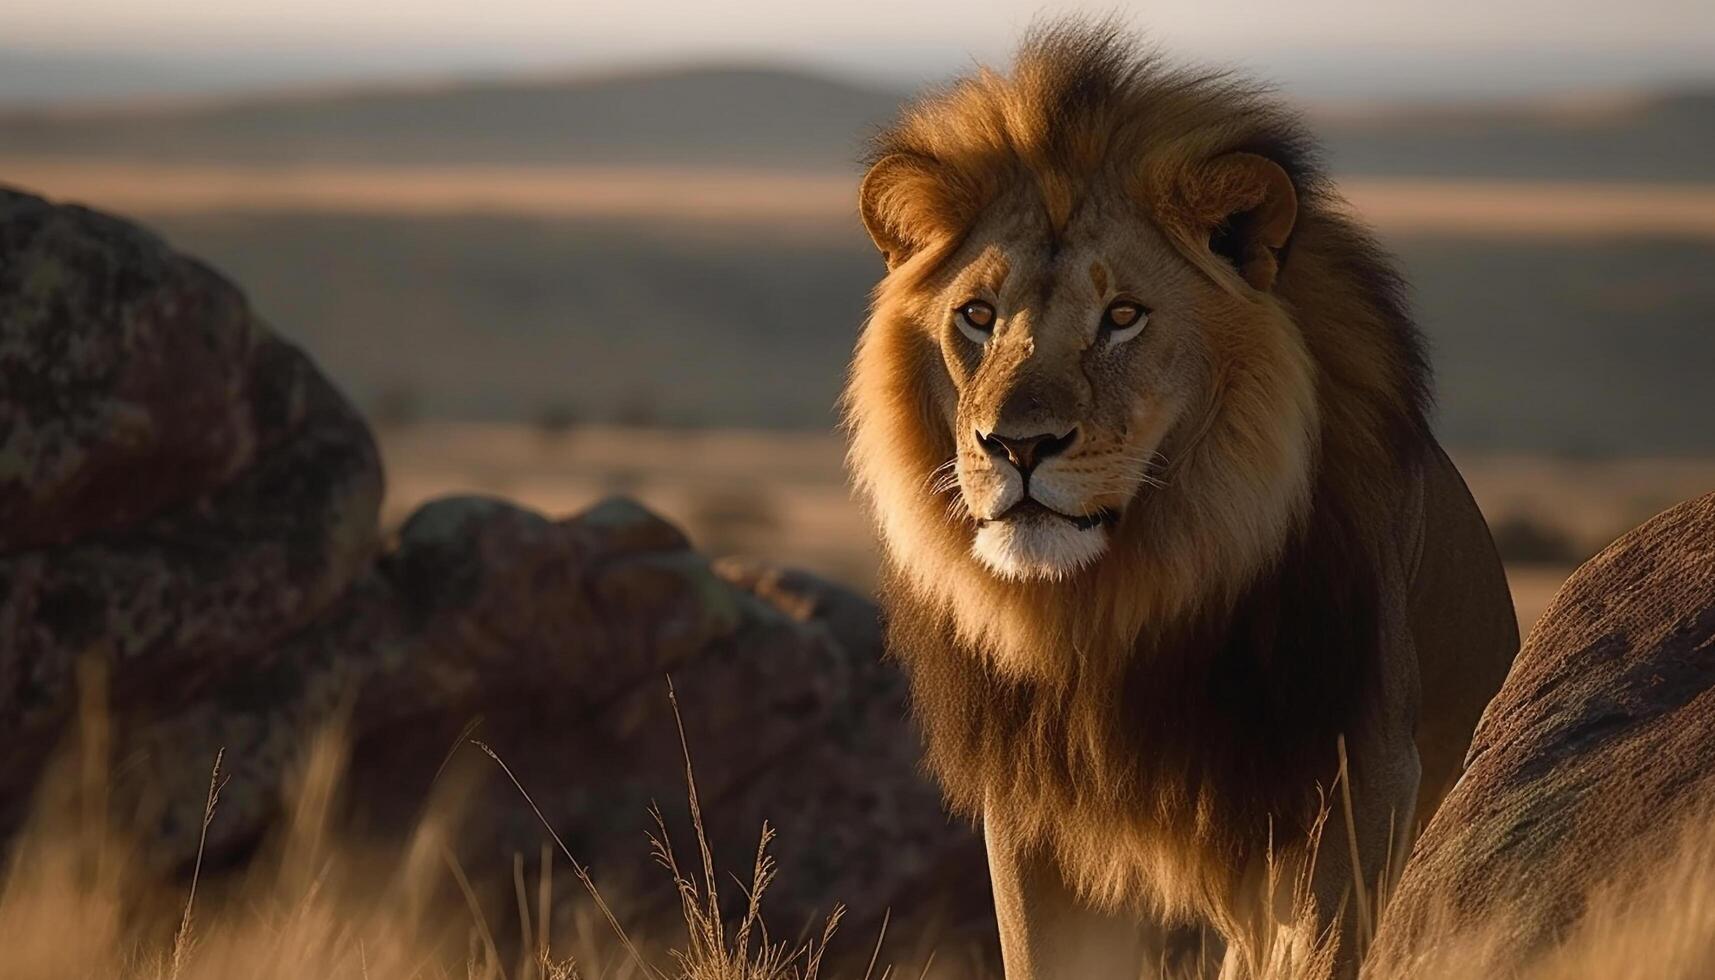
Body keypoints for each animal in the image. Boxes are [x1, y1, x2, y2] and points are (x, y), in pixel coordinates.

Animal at [842, 25, 1519, 979]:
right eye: (975, 315)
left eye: (1122, 316)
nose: (1016, 446)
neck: (1112, 609)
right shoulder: (1028, 802)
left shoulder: (1359, 777)